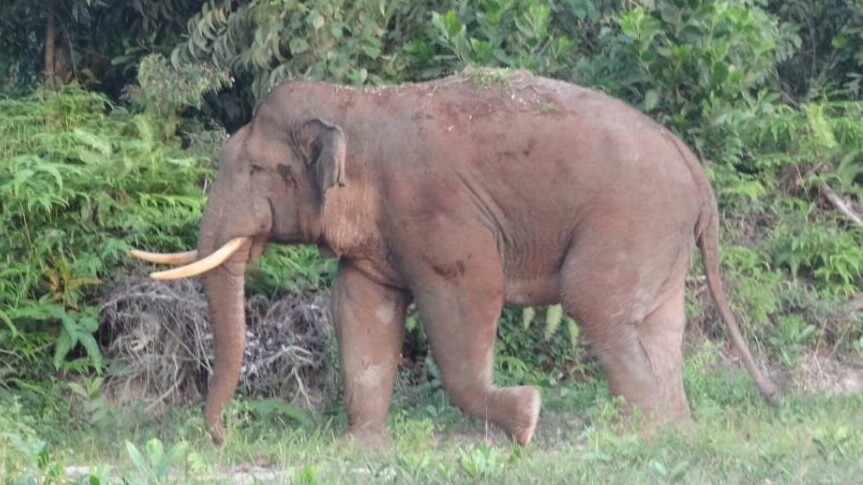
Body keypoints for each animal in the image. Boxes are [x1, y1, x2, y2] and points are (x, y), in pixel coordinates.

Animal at [130, 68, 778, 447]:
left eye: (259, 170)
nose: (221, 436)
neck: (357, 107)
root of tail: (695, 168)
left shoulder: (438, 212)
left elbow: (467, 294)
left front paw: (527, 419)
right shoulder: (381, 235)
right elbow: (360, 310)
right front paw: (361, 449)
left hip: (631, 221)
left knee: (597, 306)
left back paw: (641, 439)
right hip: (661, 239)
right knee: (660, 326)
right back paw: (679, 433)